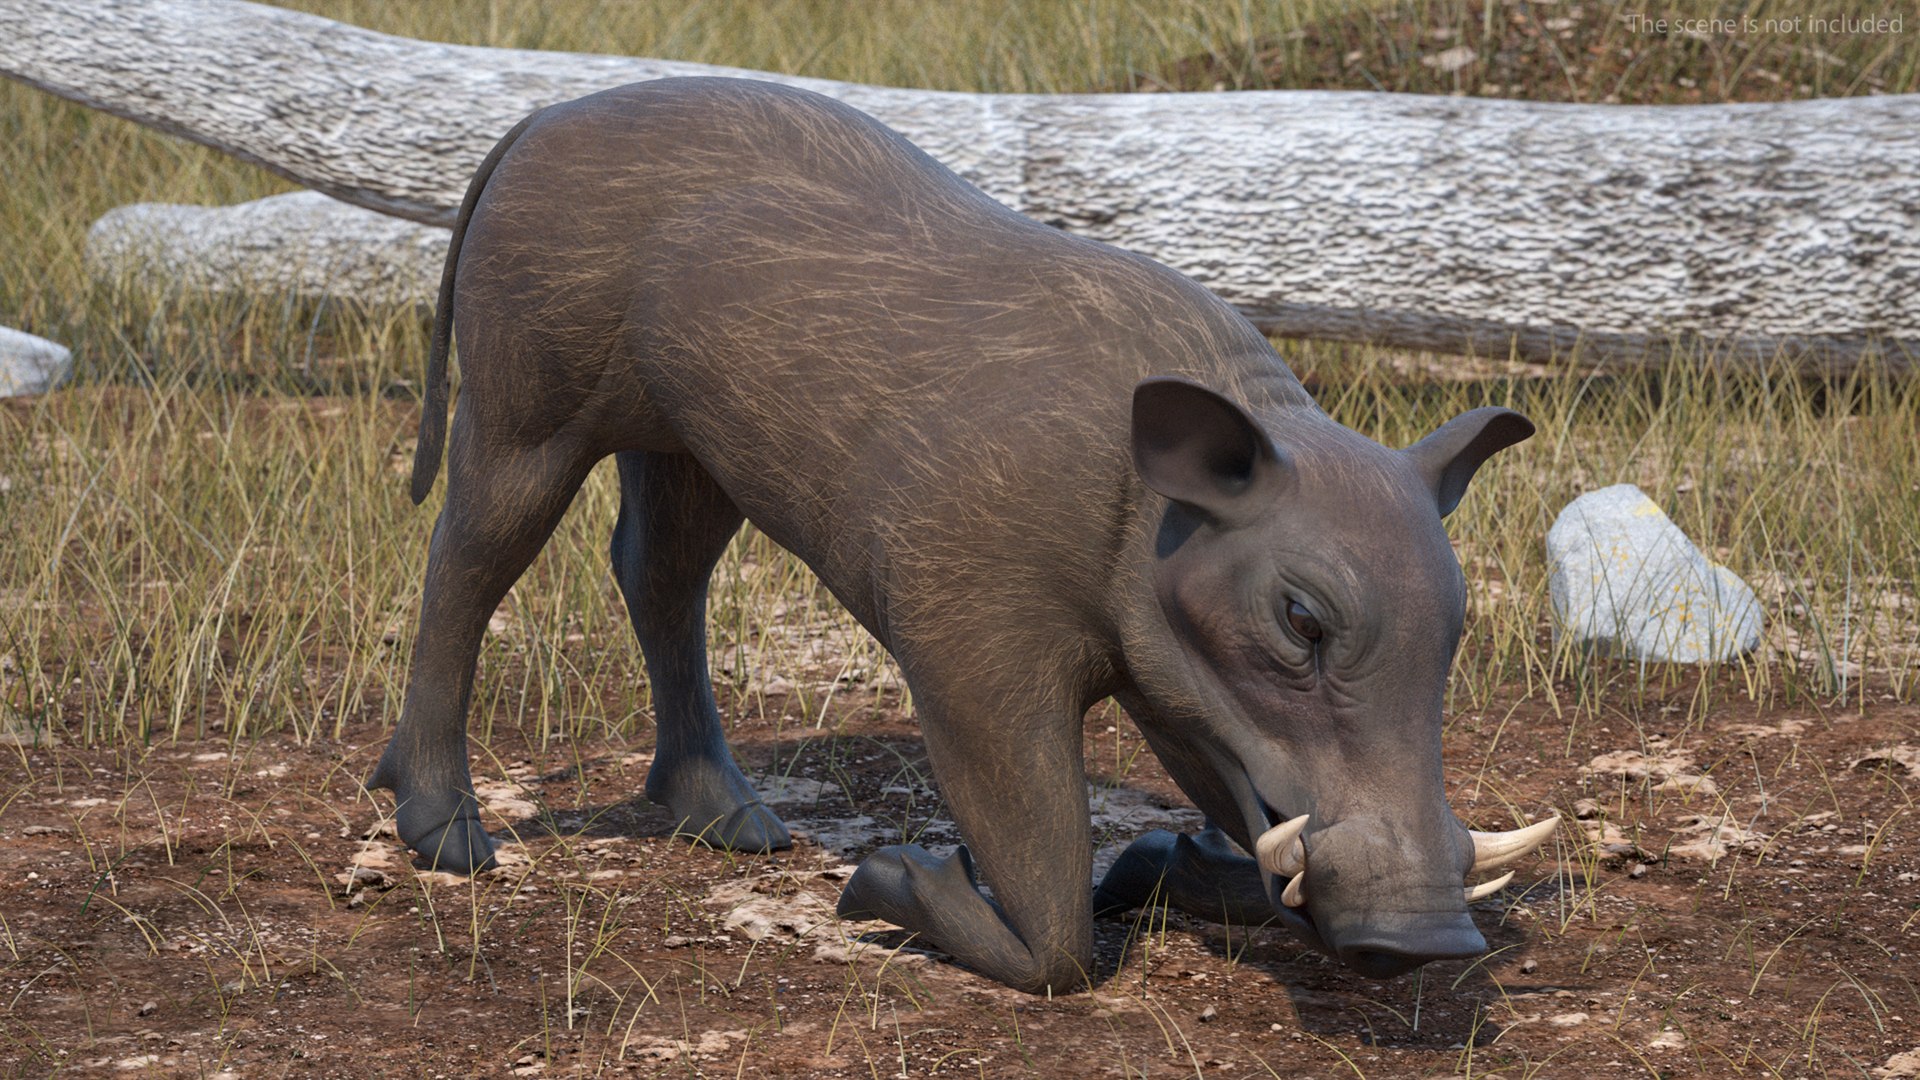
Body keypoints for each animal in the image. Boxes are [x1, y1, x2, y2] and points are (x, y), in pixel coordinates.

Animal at [367, 76, 1557, 993]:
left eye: (1455, 622)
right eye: (1301, 618)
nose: (1425, 939)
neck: (1139, 514)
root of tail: (539, 119)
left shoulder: (1172, 680)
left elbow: (1236, 815)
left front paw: (1159, 871)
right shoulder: (969, 652)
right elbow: (1055, 916)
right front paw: (884, 885)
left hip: (691, 449)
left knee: (657, 577)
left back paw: (735, 824)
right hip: (527, 410)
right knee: (465, 563)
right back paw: (447, 838)